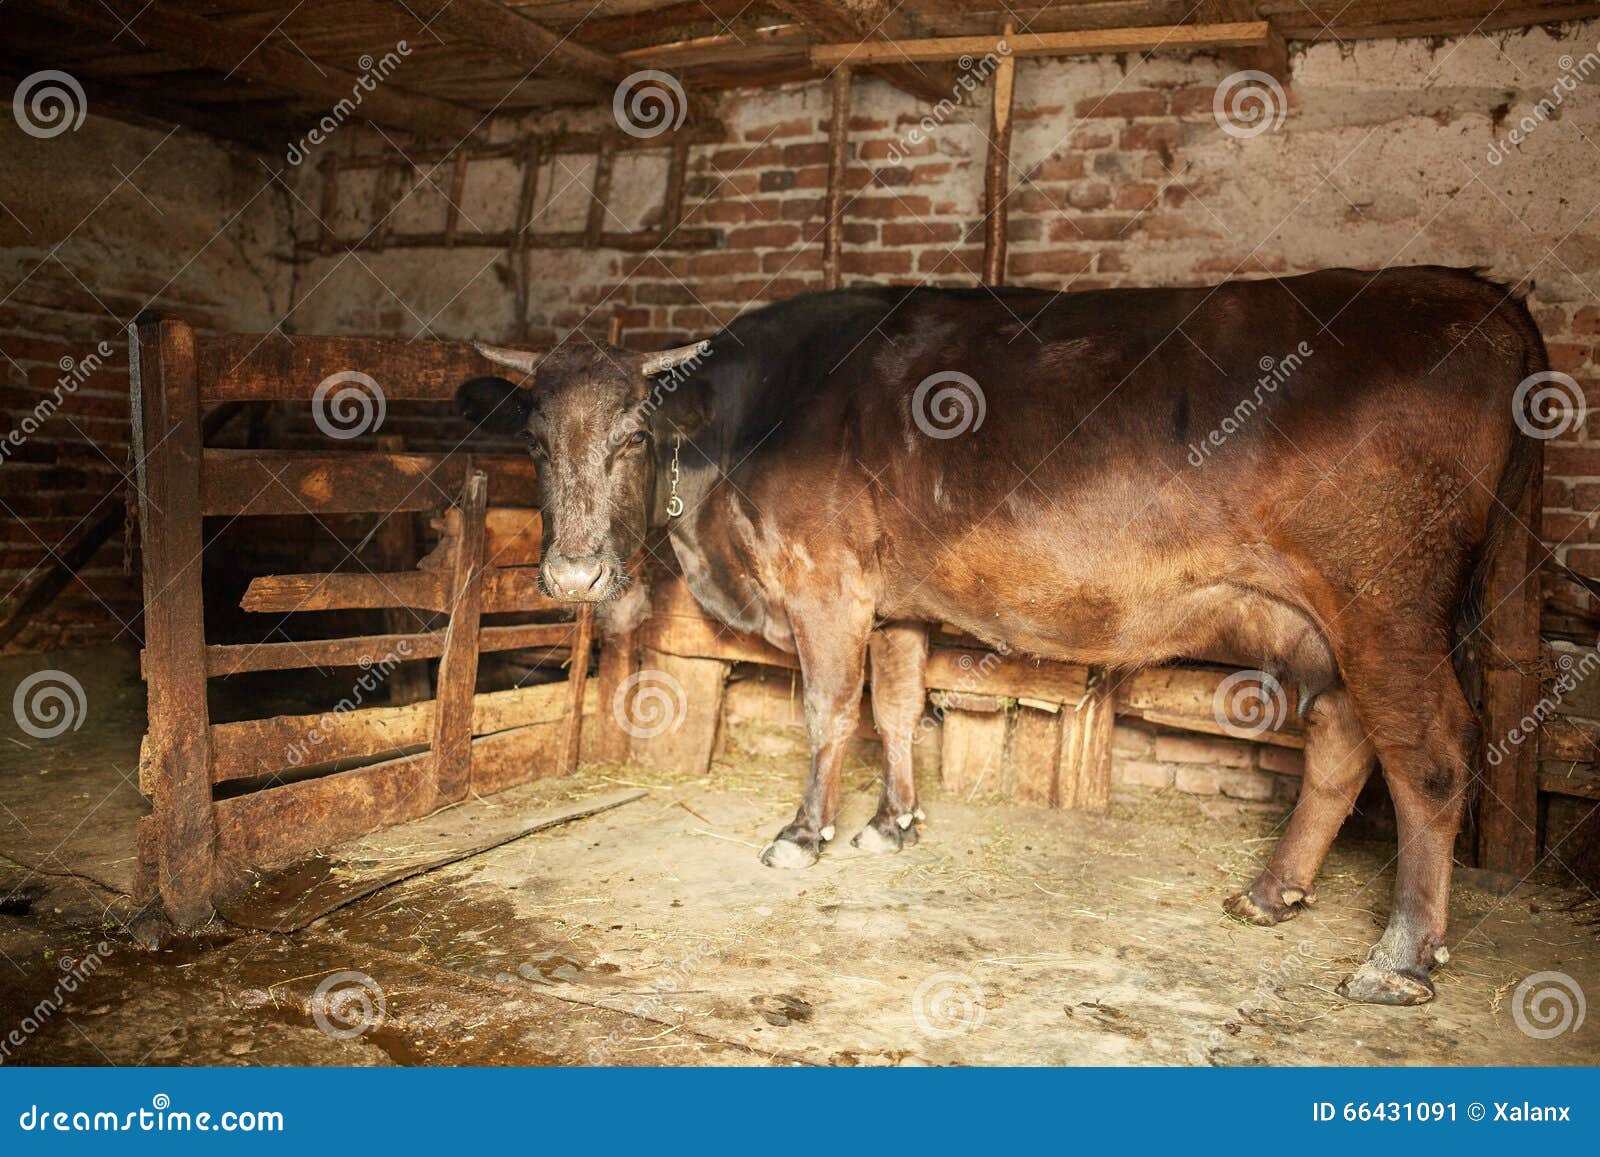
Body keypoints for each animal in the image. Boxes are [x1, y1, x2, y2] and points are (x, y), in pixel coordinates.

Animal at [458, 266, 1546, 1006]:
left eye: (633, 437)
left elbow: (829, 710)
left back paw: (1399, 955)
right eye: (533, 441)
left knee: (1431, 754)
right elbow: (898, 705)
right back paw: (1273, 891)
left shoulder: (826, 585)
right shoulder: (895, 599)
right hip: (1321, 622)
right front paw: (893, 821)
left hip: (1385, 603)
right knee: (1343, 742)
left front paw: (804, 834)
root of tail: (1472, 289)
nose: (572, 576)